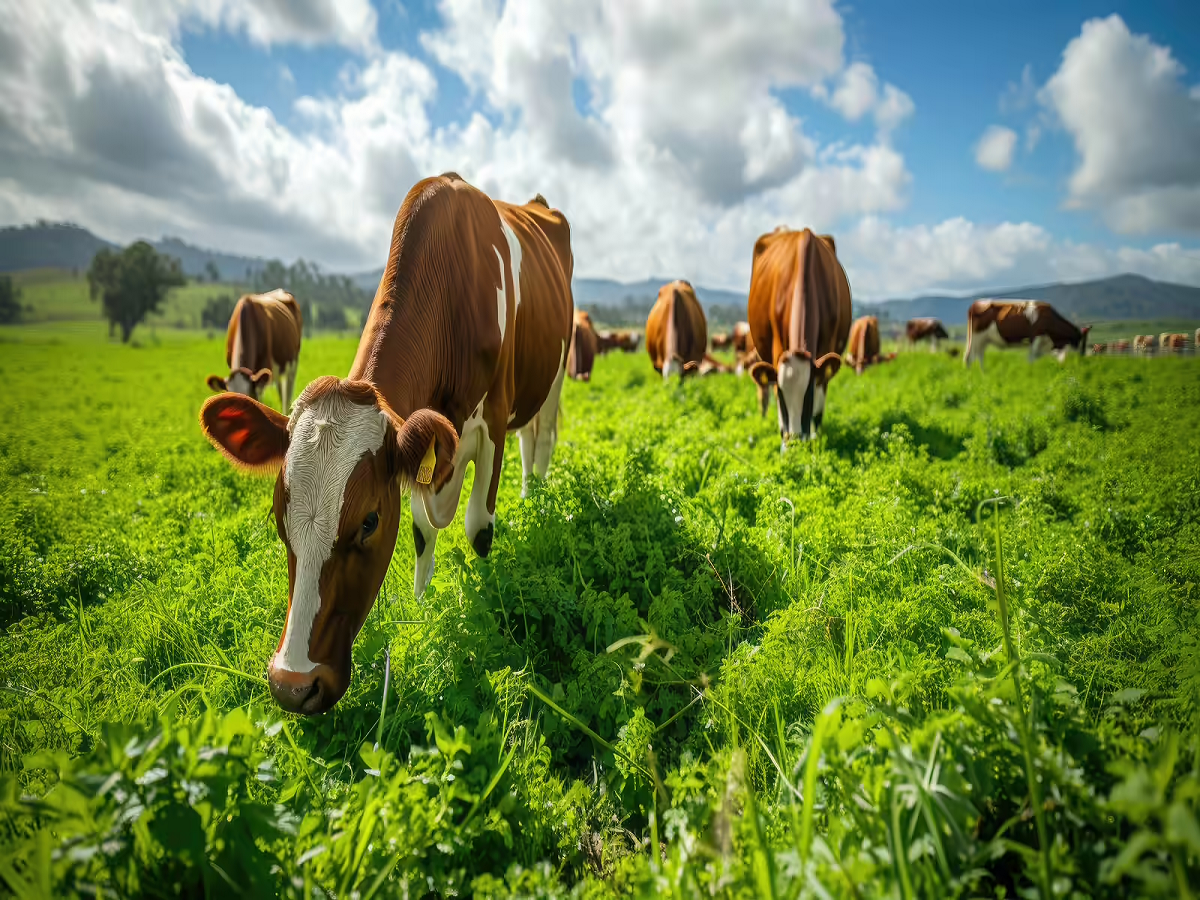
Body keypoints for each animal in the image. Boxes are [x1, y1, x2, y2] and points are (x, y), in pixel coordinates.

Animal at [198, 174, 573, 715]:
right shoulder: (424, 449)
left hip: (557, 370)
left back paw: (535, 500)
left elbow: (478, 529)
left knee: (540, 440)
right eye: (278, 518)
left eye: (368, 522)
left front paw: (488, 611)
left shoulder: (491, 424)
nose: (293, 685)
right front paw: (423, 609)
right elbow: (422, 529)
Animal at [746, 227, 852, 445]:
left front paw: (815, 440)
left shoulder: (827, 351)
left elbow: (818, 410)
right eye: (781, 396)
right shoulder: (777, 347)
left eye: (808, 395)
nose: (795, 440)